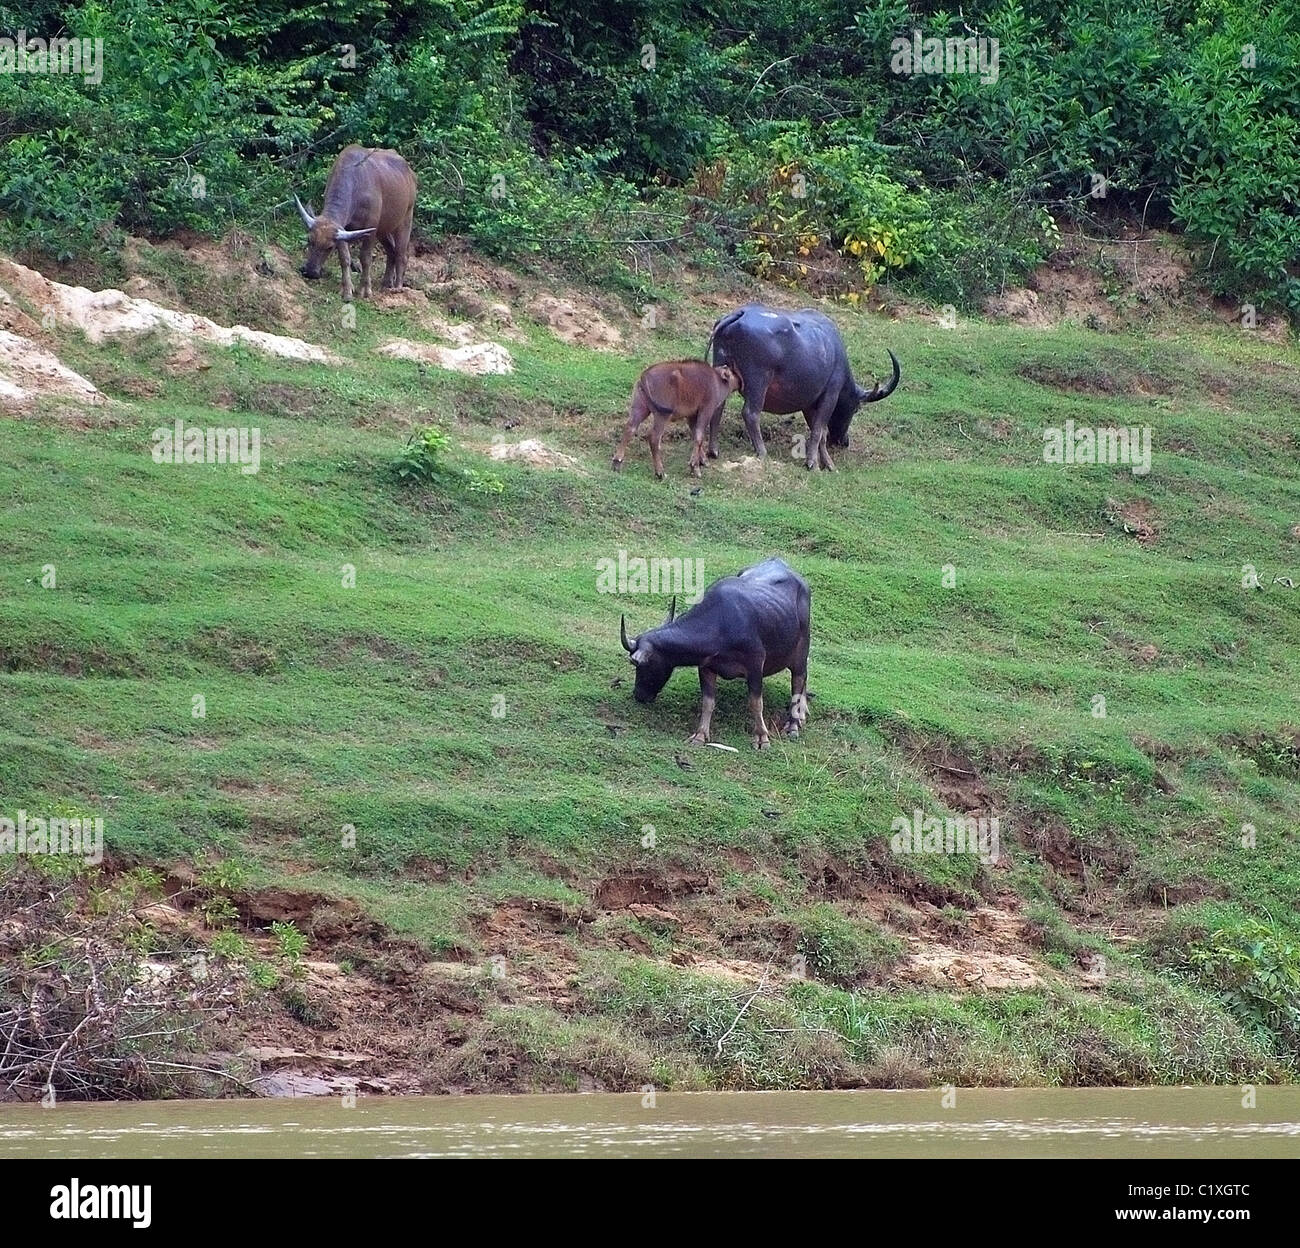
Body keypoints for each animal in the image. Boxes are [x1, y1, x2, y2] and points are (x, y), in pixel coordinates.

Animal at [296, 145, 417, 302]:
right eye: (309, 240)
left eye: (329, 247)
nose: (310, 272)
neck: (356, 184)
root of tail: (411, 174)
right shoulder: (343, 230)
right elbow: (345, 258)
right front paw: (347, 290)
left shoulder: (371, 228)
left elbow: (365, 258)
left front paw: (364, 290)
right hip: (384, 229)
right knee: (391, 250)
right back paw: (386, 282)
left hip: (406, 219)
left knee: (401, 254)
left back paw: (398, 287)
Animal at [612, 359, 741, 479]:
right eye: (734, 372)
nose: (740, 381)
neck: (717, 381)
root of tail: (644, 375)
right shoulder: (706, 411)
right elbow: (699, 437)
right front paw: (695, 467)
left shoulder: (691, 416)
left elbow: (695, 435)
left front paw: (703, 460)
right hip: (662, 416)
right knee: (654, 438)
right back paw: (660, 472)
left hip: (640, 408)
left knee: (630, 428)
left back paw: (617, 463)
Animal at [620, 557, 811, 750]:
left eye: (640, 665)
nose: (639, 695)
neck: (720, 625)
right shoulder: (706, 667)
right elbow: (708, 702)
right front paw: (700, 735)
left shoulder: (755, 665)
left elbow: (756, 703)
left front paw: (762, 738)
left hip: (802, 650)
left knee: (799, 680)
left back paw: (794, 723)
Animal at [708, 304, 900, 471]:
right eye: (856, 409)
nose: (843, 441)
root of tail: (740, 313)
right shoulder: (831, 393)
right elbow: (818, 430)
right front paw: (813, 464)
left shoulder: (809, 404)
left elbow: (819, 432)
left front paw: (827, 463)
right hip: (758, 380)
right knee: (751, 413)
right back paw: (762, 452)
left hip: (721, 366)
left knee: (718, 407)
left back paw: (713, 450)